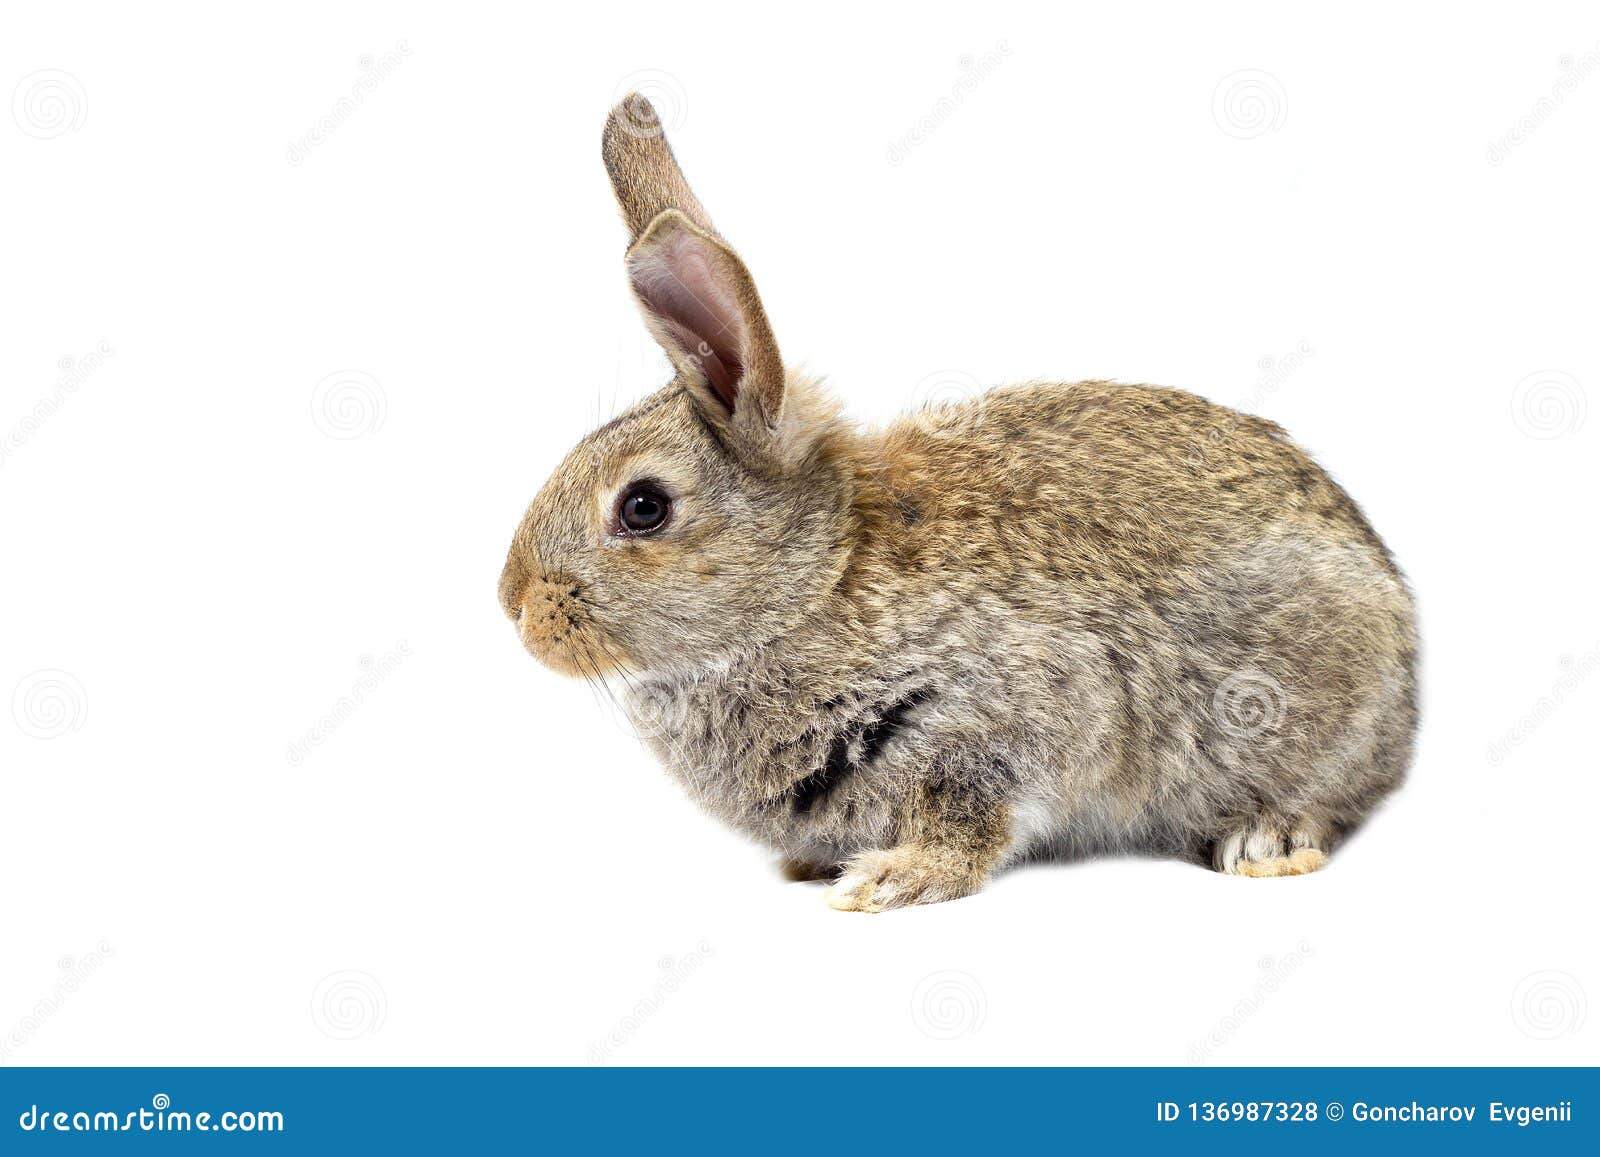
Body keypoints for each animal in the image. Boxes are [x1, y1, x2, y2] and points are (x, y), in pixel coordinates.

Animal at [497, 94, 1418, 912]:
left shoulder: (1006, 720)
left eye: (643, 507)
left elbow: (974, 815)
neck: (816, 579)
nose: (514, 604)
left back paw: (1267, 839)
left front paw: (890, 880)